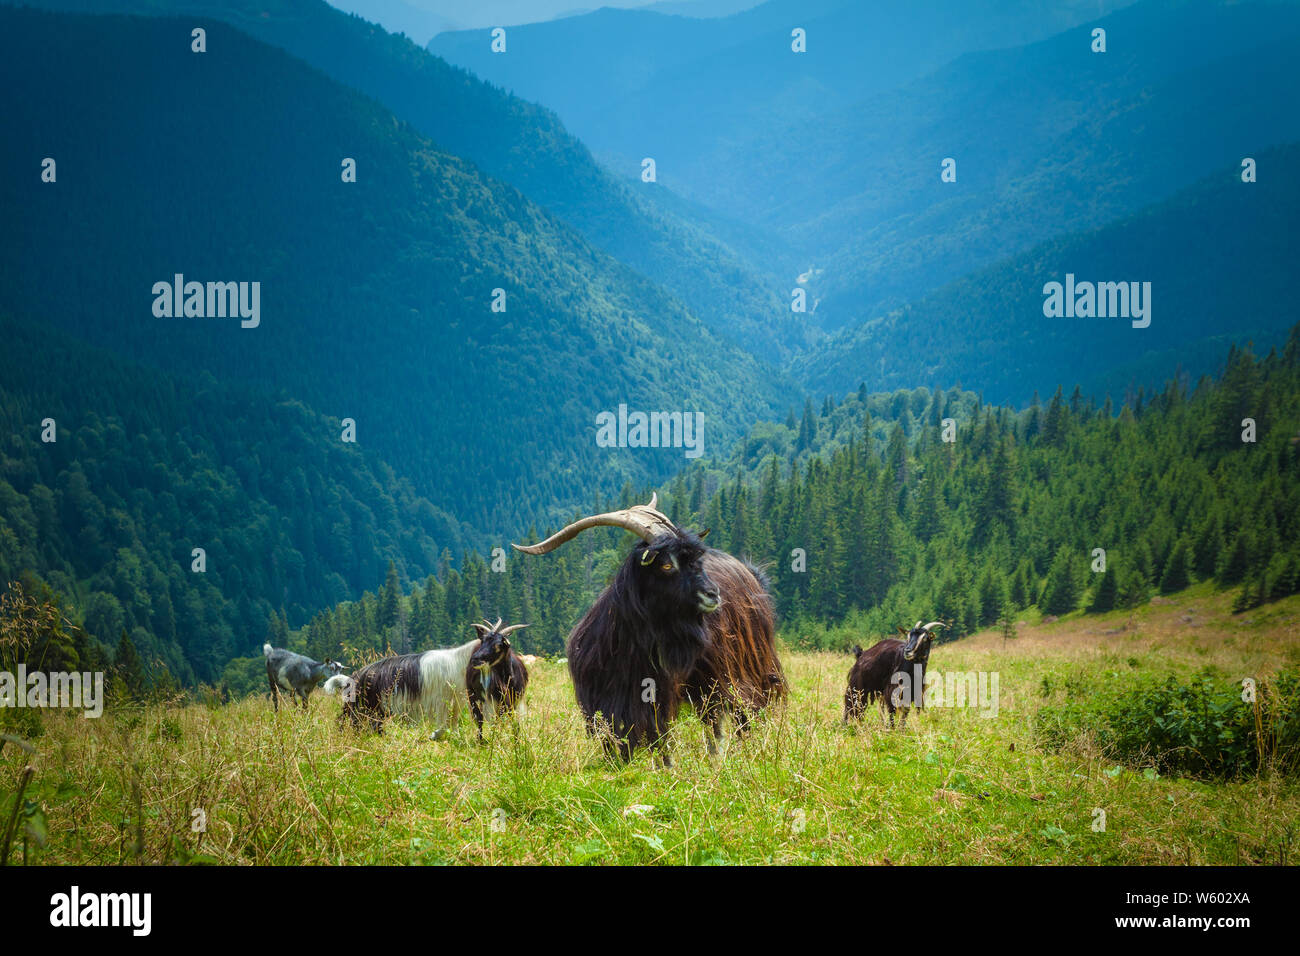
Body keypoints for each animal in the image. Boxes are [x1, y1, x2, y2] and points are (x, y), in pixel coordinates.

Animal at [340, 636, 480, 737]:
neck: (458, 663)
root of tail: (356, 676)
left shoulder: (454, 699)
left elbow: (453, 720)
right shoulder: (442, 700)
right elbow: (445, 722)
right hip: (369, 705)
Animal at [513, 493, 785, 762]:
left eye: (697, 560)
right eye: (666, 565)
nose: (712, 594)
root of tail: (749, 572)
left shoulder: (661, 693)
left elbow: (664, 736)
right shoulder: (607, 699)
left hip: (745, 668)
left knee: (737, 713)